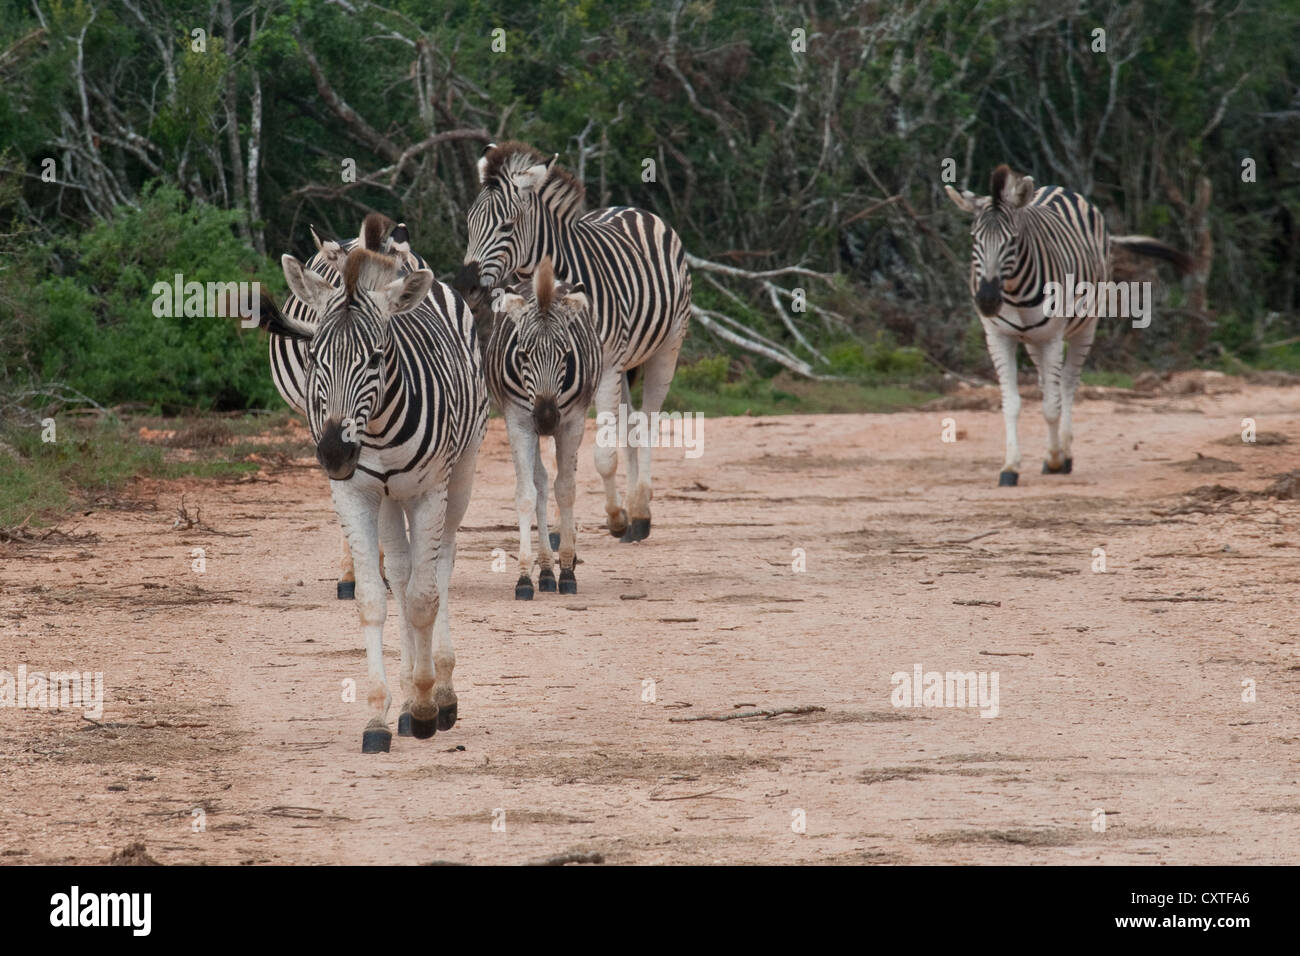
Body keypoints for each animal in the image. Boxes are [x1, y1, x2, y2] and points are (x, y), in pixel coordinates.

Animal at [454, 142, 691, 543]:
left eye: (507, 225)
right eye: (470, 222)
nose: (465, 287)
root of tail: (632, 209)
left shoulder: (603, 366)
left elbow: (602, 456)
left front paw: (616, 518)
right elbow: (555, 462)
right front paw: (556, 532)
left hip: (665, 346)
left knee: (647, 421)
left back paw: (639, 514)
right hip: (623, 366)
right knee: (628, 424)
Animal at [484, 257, 602, 600]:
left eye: (566, 355)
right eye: (523, 354)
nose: (547, 420)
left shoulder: (572, 422)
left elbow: (566, 491)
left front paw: (568, 570)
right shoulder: (519, 422)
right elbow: (527, 493)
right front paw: (525, 576)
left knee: (563, 480)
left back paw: (562, 562)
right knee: (540, 482)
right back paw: (546, 569)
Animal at [945, 164, 1192, 485]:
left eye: (1012, 240)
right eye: (975, 238)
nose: (987, 300)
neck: (1013, 291)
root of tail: (1059, 187)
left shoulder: (1052, 337)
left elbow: (1052, 405)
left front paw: (1053, 460)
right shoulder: (998, 336)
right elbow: (1011, 404)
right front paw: (1010, 467)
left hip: (1084, 327)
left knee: (1066, 384)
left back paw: (1065, 455)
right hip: (1036, 341)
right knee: (1047, 384)